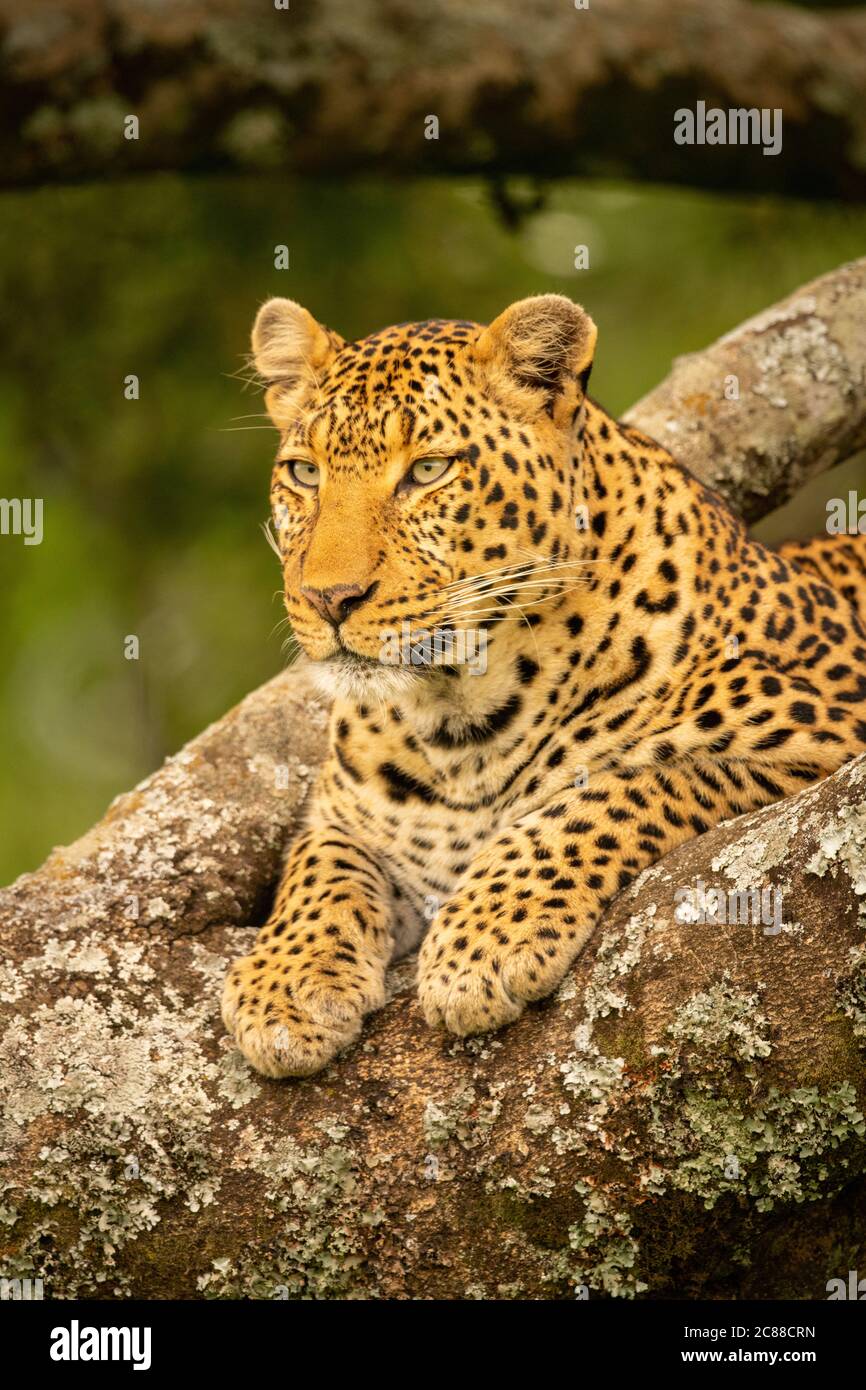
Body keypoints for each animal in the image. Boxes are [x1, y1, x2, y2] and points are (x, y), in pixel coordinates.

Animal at [221, 293, 866, 1078]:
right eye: (305, 473)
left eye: (428, 470)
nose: (328, 598)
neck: (456, 719)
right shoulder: (350, 813)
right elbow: (320, 866)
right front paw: (284, 983)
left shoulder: (825, 732)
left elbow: (616, 788)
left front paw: (487, 935)